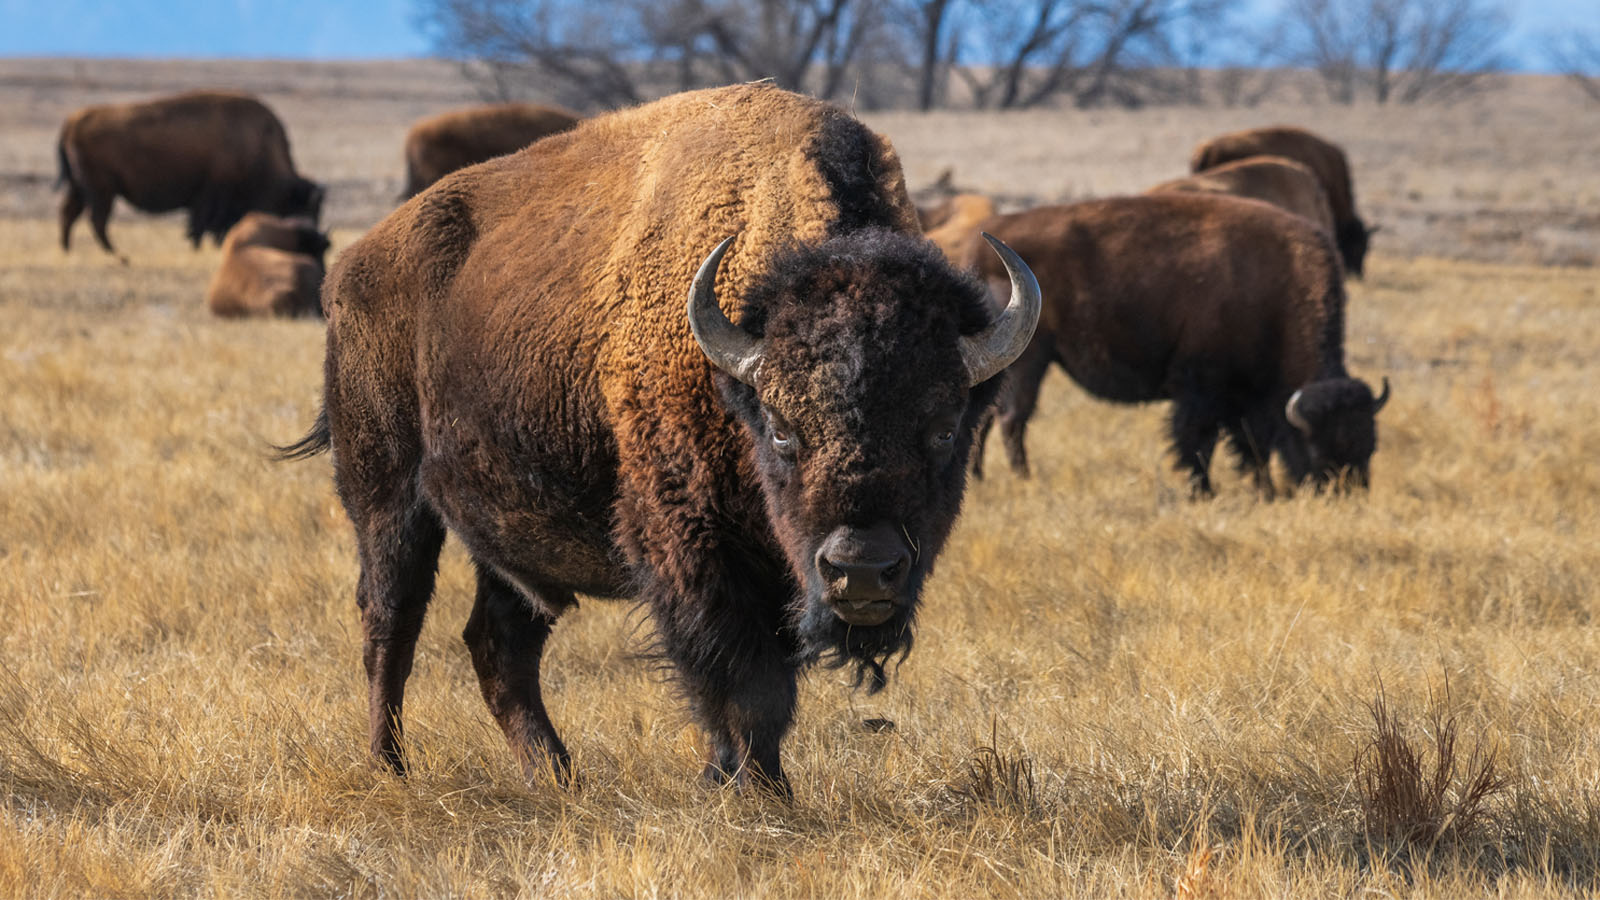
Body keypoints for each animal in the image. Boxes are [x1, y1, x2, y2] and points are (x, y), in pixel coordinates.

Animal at [57, 90, 324, 255]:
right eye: (302, 207)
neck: (256, 144)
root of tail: (72, 122)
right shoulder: (210, 196)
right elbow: (199, 227)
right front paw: (198, 247)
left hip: (81, 187)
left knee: (70, 214)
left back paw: (70, 250)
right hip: (102, 190)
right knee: (96, 219)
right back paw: (117, 254)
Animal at [969, 192, 1388, 497]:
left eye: (1370, 445)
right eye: (1317, 447)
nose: (1346, 494)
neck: (1276, 291)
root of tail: (983, 246)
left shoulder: (1245, 398)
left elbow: (1251, 446)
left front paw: (1263, 491)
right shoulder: (1202, 388)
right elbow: (1198, 440)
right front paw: (1204, 492)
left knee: (988, 418)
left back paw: (979, 477)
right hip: (1030, 358)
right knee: (1013, 419)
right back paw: (1023, 478)